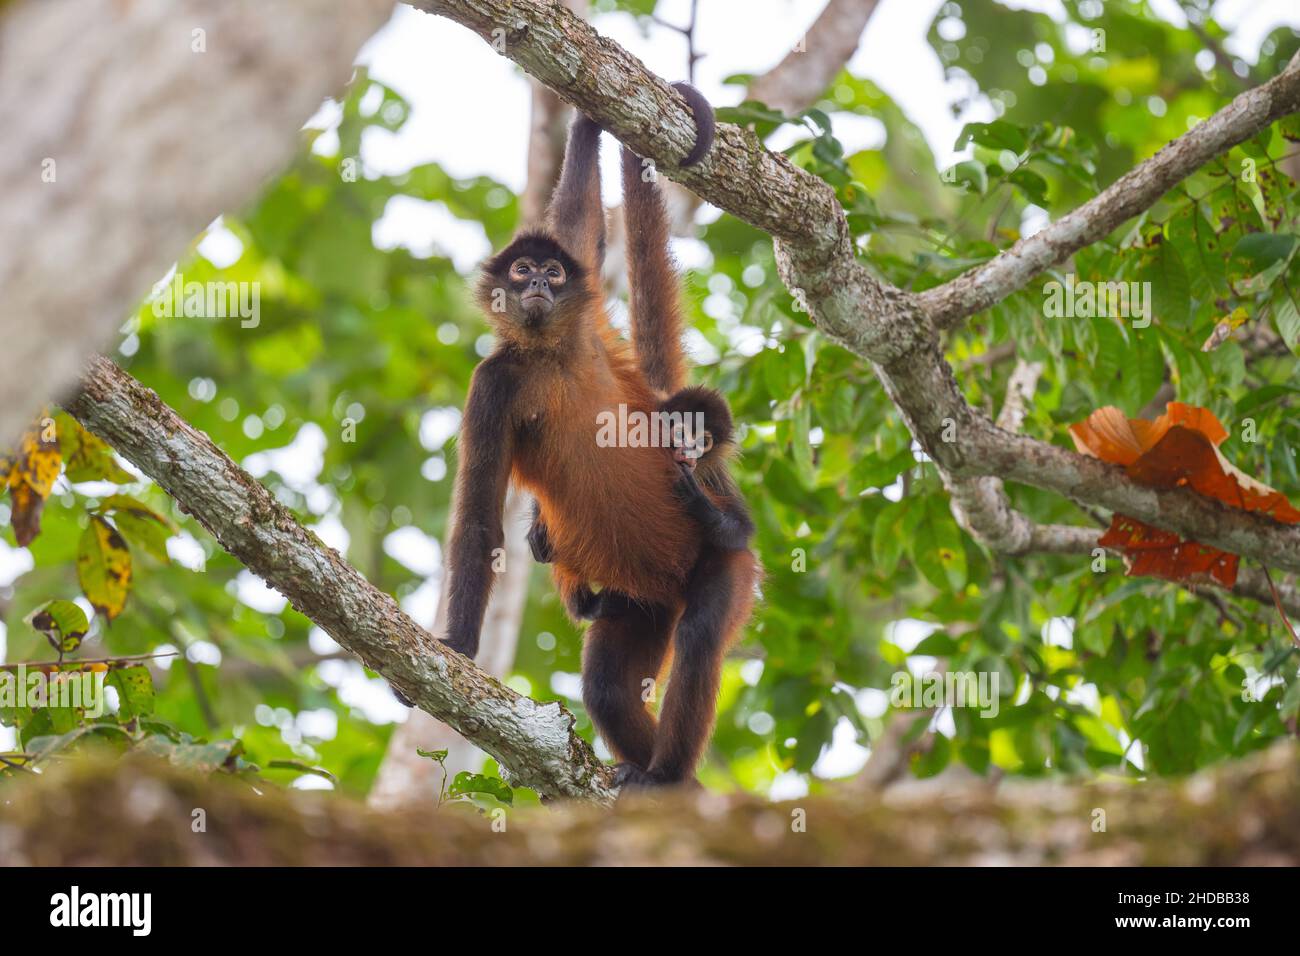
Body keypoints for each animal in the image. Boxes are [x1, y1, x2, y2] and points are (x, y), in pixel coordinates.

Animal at [441, 82, 758, 790]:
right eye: (522, 270)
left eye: (553, 275)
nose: (535, 283)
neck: (551, 355)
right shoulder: (492, 383)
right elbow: (478, 525)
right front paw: (457, 650)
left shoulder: (585, 328)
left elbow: (582, 223)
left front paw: (587, 117)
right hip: (640, 607)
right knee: (609, 687)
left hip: (725, 562)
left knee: (699, 635)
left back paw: (668, 776)